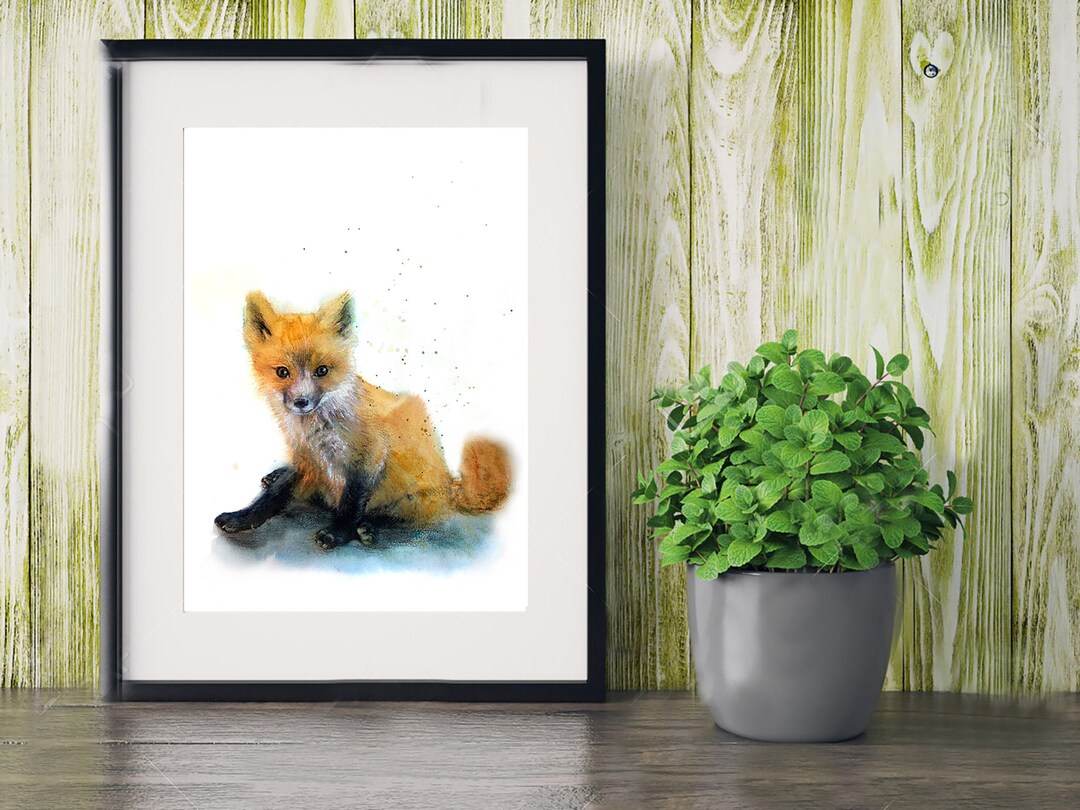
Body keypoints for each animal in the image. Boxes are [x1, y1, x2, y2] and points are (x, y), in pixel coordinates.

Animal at [213, 291, 512, 550]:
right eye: (282, 372)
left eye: (322, 371)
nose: (301, 402)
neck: (319, 432)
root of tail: (451, 483)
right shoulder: (306, 459)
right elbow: (274, 495)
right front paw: (242, 518)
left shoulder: (369, 456)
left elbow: (351, 503)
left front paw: (337, 533)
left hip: (412, 493)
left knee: (399, 517)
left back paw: (369, 528)